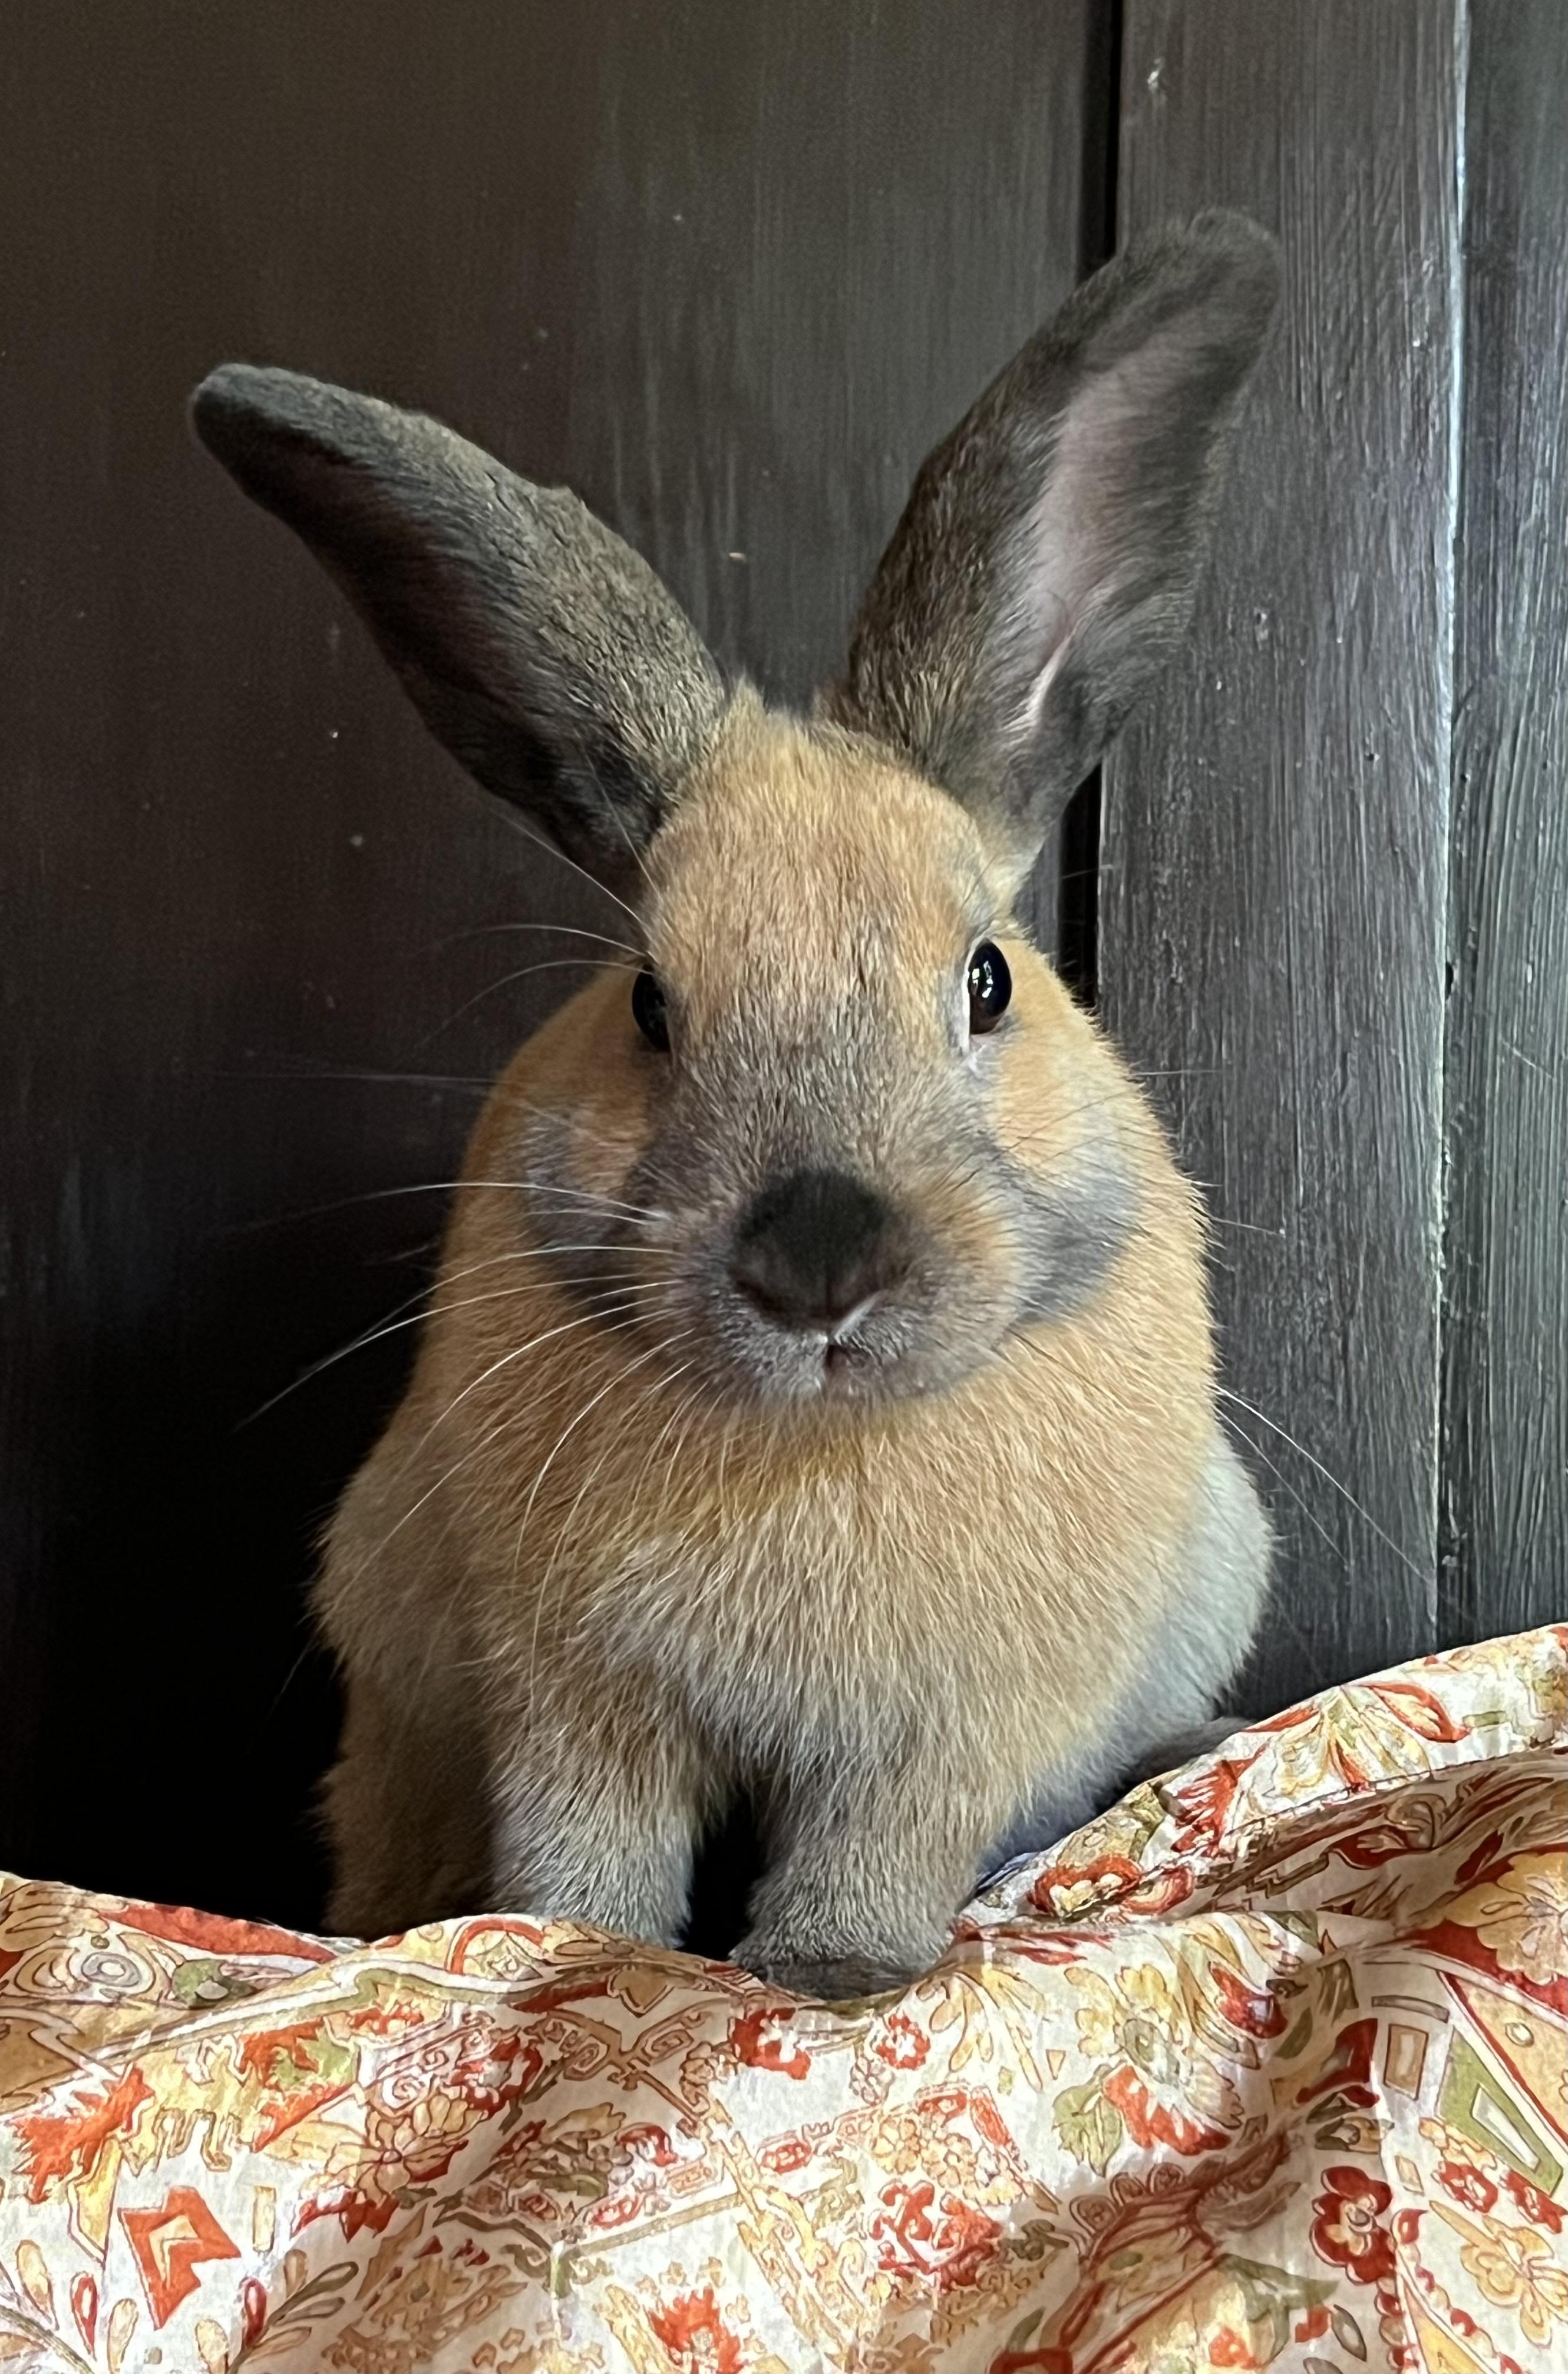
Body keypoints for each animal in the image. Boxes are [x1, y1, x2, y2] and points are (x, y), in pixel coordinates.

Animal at [191, 209, 1280, 1999]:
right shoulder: (575, 1696)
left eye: (987, 979)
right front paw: (574, 1949)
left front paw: (828, 1970)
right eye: (650, 1000)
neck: (809, 1446)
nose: (818, 1263)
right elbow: (588, 1844)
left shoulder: (948, 1731)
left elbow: (877, 1848)